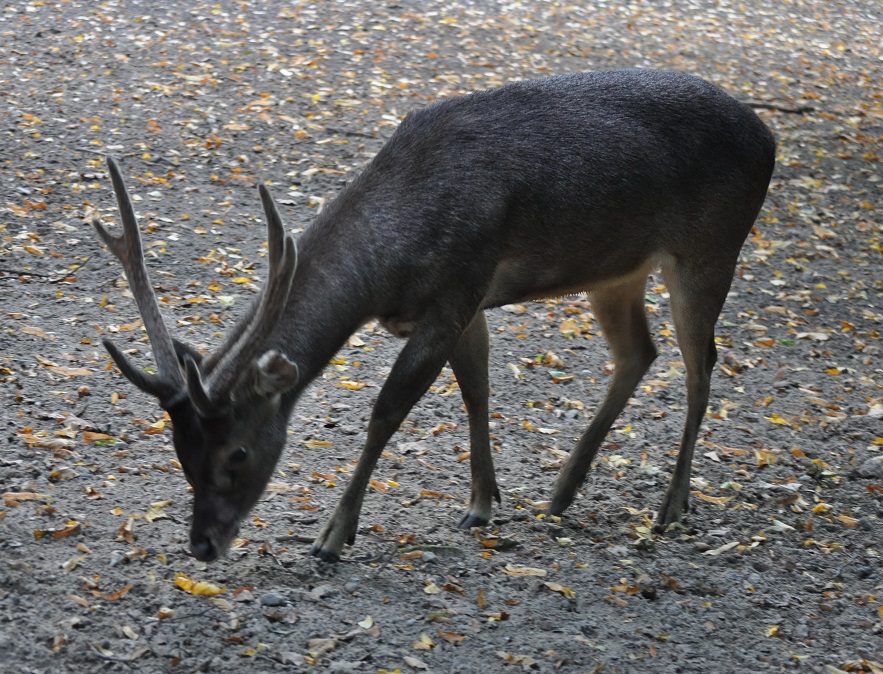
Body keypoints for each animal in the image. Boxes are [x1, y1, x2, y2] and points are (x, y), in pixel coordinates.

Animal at [92, 69, 775, 563]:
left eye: (236, 454)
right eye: (180, 452)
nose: (203, 546)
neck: (389, 269)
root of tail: (769, 136)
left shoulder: (456, 292)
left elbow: (387, 410)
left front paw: (333, 536)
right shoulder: (464, 307)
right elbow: (476, 388)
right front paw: (482, 503)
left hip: (710, 249)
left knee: (701, 366)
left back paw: (672, 505)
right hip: (616, 269)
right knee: (639, 352)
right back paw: (561, 491)